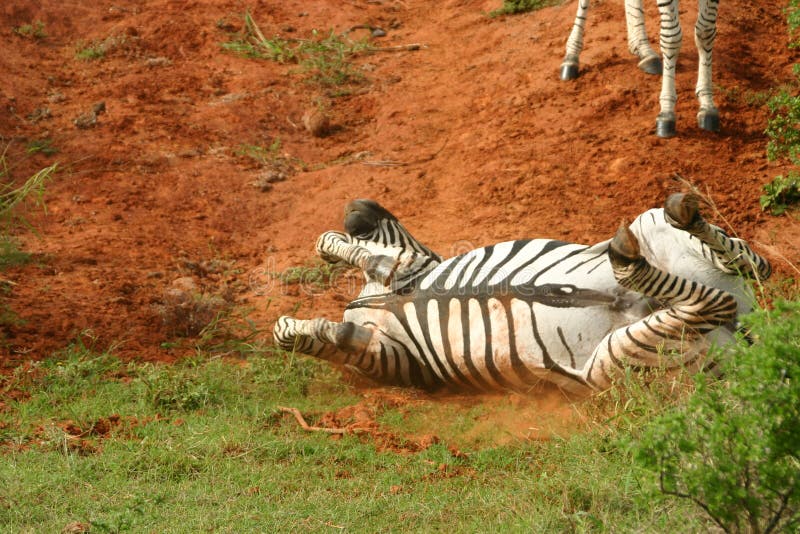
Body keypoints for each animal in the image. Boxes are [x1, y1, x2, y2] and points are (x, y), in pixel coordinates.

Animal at [273, 194, 770, 395]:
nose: (357, 208)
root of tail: (751, 337)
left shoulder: (413, 270)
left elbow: (334, 245)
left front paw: (357, 258)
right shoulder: (394, 357)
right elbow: (290, 330)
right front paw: (322, 331)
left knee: (746, 268)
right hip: (618, 357)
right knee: (724, 289)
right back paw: (632, 254)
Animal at [560, 0, 720, 138]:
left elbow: (705, 32)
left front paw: (707, 104)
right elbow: (671, 38)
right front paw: (667, 111)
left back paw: (643, 49)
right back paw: (571, 56)